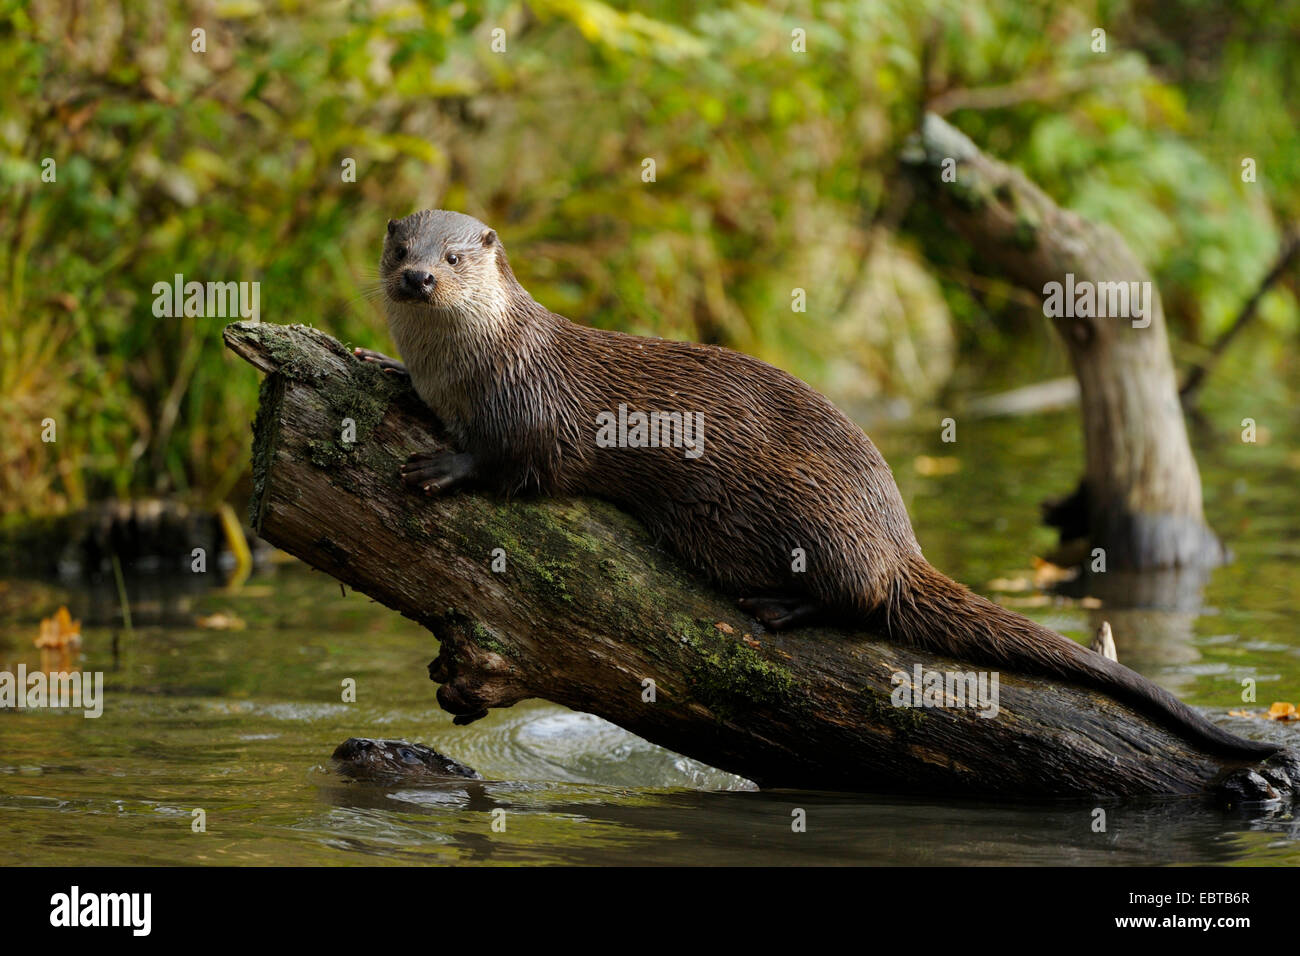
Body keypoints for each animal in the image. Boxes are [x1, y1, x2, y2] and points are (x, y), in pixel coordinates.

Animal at [355, 208, 1278, 760]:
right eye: (401, 247)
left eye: (454, 256)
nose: (417, 279)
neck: (476, 369)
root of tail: (896, 531)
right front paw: (383, 368)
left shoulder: (534, 407)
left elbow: (518, 462)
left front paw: (442, 464)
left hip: (818, 517)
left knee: (860, 596)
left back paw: (779, 606)